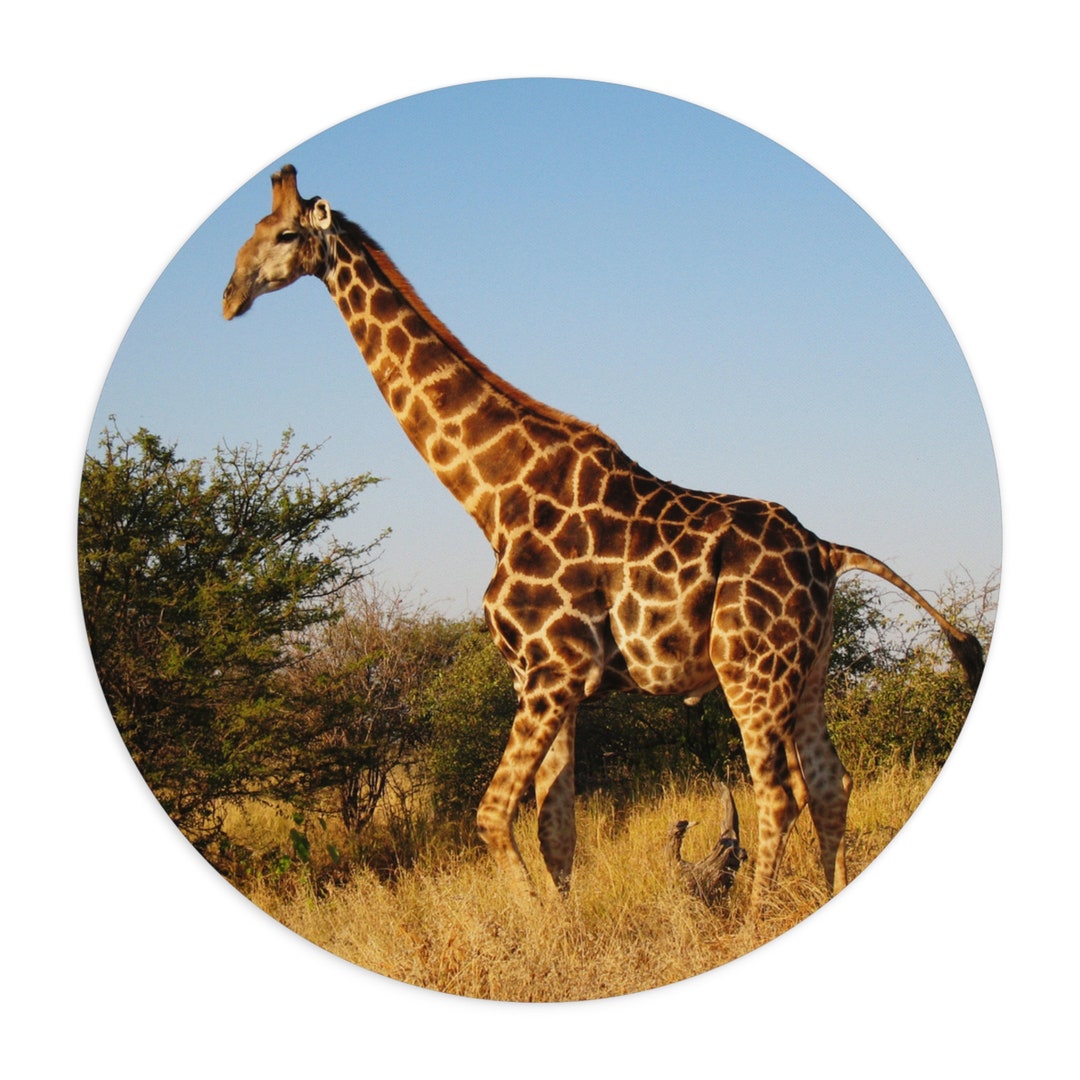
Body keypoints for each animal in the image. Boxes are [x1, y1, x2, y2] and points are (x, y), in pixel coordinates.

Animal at [223, 165, 984, 911]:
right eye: (253, 229)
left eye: (284, 232)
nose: (229, 297)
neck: (493, 494)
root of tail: (828, 552)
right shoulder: (545, 679)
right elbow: (554, 827)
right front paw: (564, 934)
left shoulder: (550, 671)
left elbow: (492, 815)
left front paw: (534, 932)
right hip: (811, 670)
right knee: (830, 784)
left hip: (751, 669)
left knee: (780, 792)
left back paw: (755, 919)